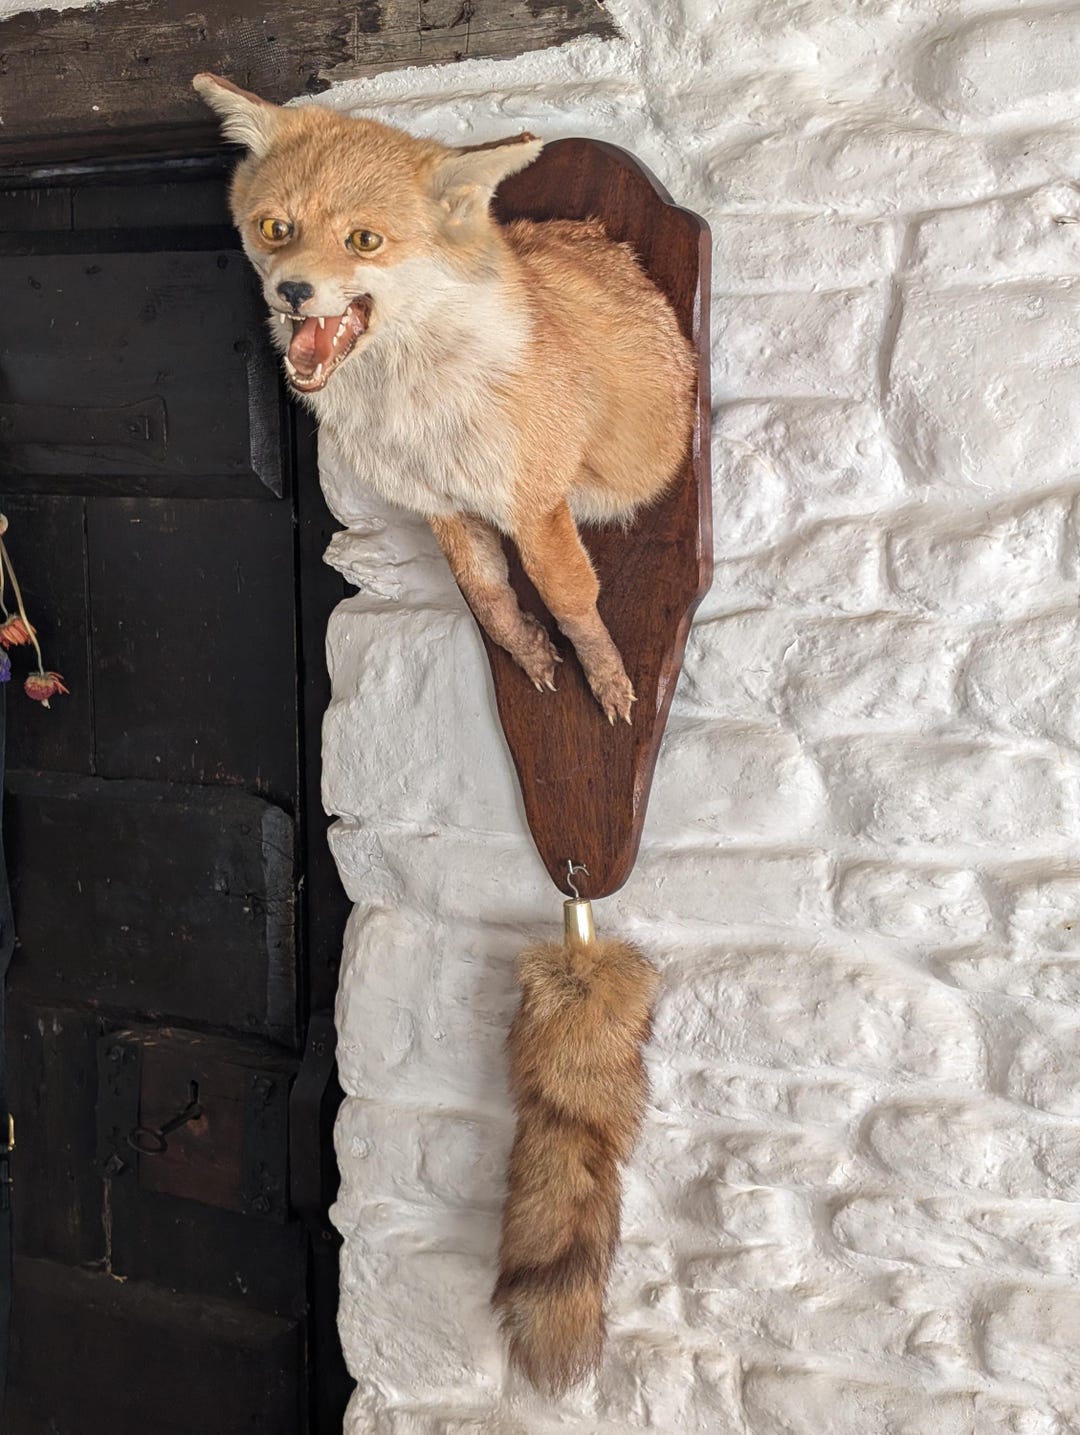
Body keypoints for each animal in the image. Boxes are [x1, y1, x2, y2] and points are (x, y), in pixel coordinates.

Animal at [193, 73, 695, 726]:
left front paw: (606, 678)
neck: (413, 412)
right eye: (276, 228)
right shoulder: (441, 504)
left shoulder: (533, 502)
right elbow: (487, 600)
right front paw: (530, 653)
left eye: (364, 241)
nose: (292, 291)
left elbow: (571, 598)